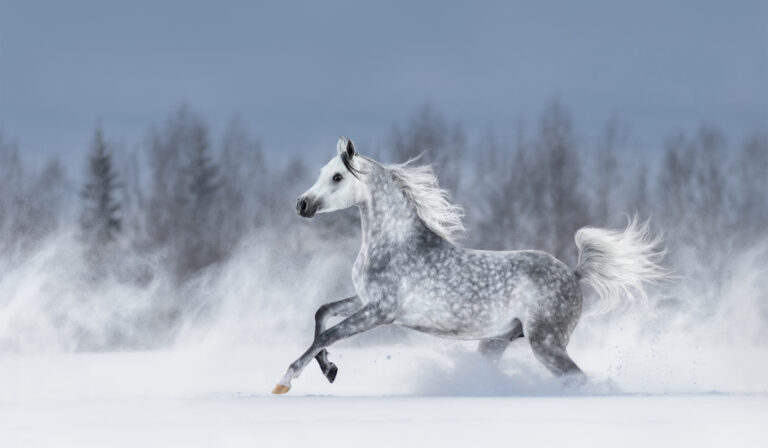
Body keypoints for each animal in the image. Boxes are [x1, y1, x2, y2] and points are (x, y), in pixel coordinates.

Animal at [272, 137, 666, 394]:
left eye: (337, 177)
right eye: (323, 172)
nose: (301, 204)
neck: (394, 244)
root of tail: (573, 273)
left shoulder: (380, 311)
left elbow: (327, 333)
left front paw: (285, 381)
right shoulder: (363, 300)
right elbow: (322, 314)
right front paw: (330, 370)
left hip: (546, 344)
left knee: (577, 379)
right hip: (497, 342)